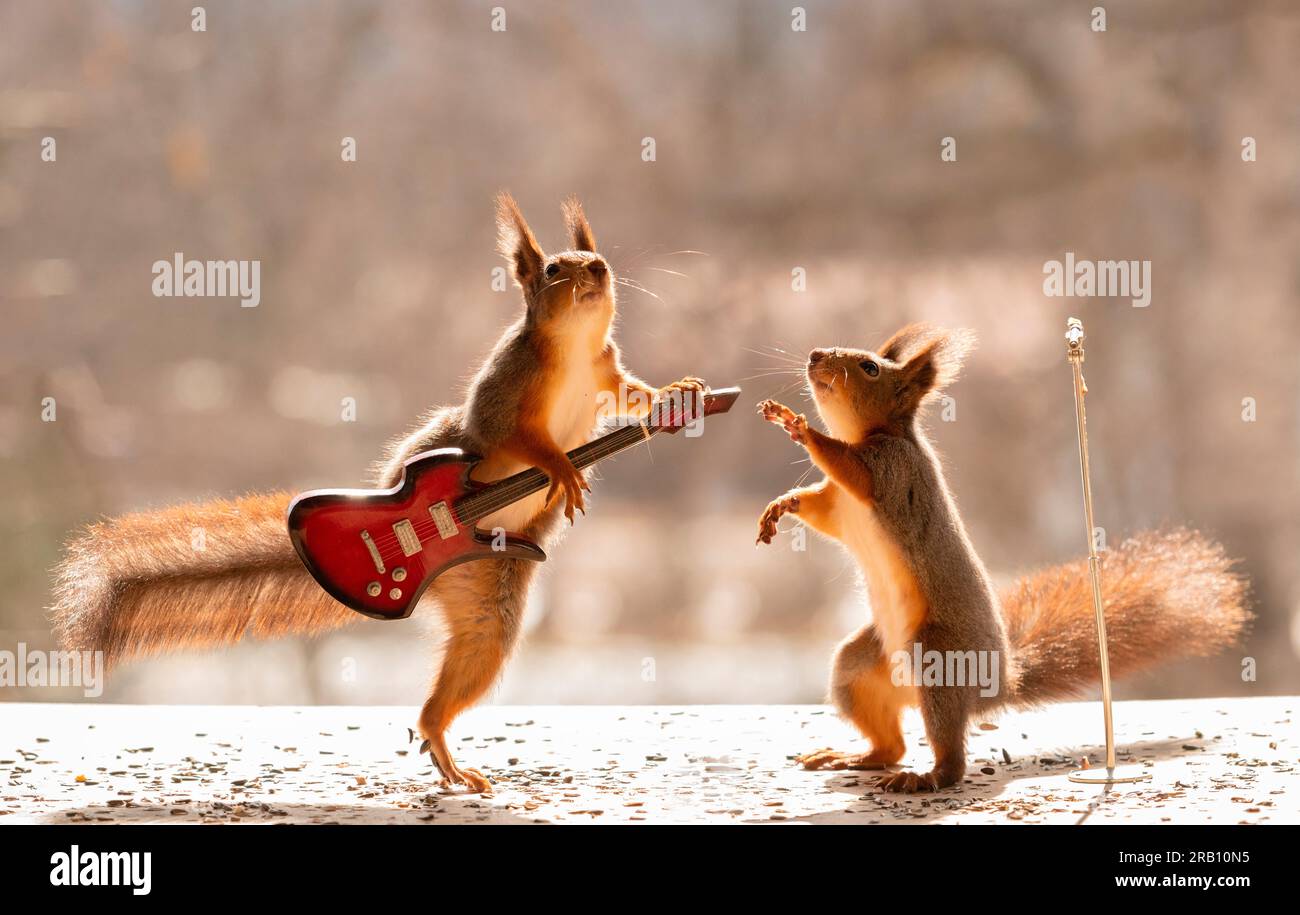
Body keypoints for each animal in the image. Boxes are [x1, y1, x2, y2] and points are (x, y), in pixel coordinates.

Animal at [51, 193, 704, 794]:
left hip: (489, 597)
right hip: (444, 461)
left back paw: (443, 743)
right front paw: (560, 467)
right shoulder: (505, 394)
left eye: (597, 256)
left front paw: (680, 394)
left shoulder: (605, 372)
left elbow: (633, 396)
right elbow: (515, 437)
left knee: (472, 654)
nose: (598, 270)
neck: (572, 347)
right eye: (551, 270)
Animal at [755, 323, 1250, 792]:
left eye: (869, 368)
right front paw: (780, 506)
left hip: (937, 658)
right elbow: (819, 509)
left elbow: (849, 466)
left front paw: (798, 426)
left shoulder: (892, 470)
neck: (870, 432)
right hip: (859, 668)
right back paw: (856, 757)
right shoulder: (838, 505)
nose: (815, 355)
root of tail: (992, 688)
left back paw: (925, 778)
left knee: (949, 755)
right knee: (891, 743)